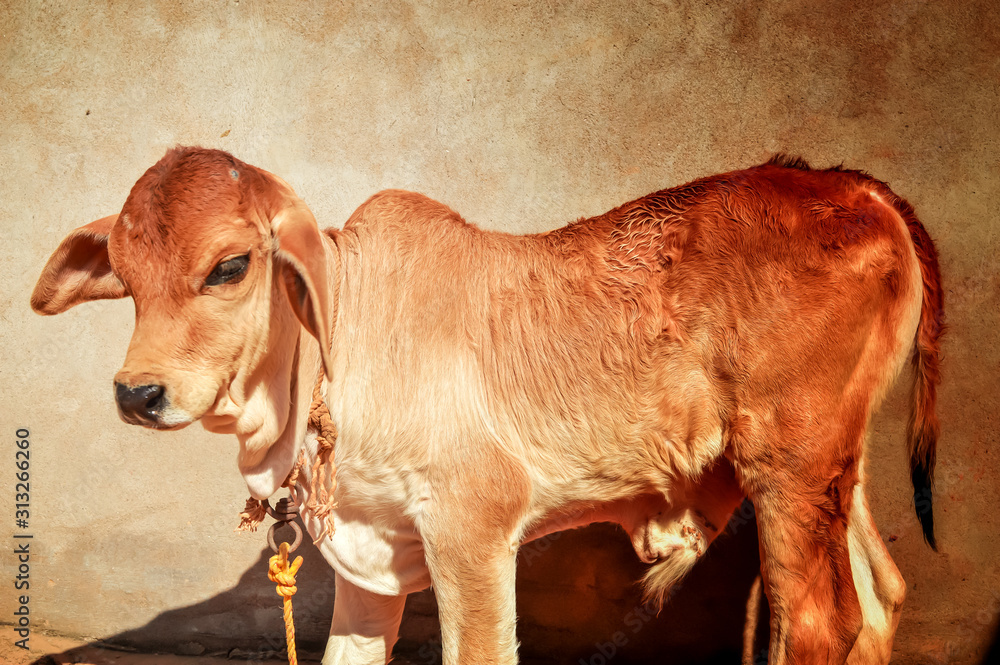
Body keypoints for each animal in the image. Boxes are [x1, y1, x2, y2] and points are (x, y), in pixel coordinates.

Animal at [31, 147, 942, 665]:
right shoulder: (370, 560)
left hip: (790, 462)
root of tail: (856, 189)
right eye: (124, 273)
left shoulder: (472, 527)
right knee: (883, 596)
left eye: (229, 266)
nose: (137, 392)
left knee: (821, 622)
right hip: (835, 468)